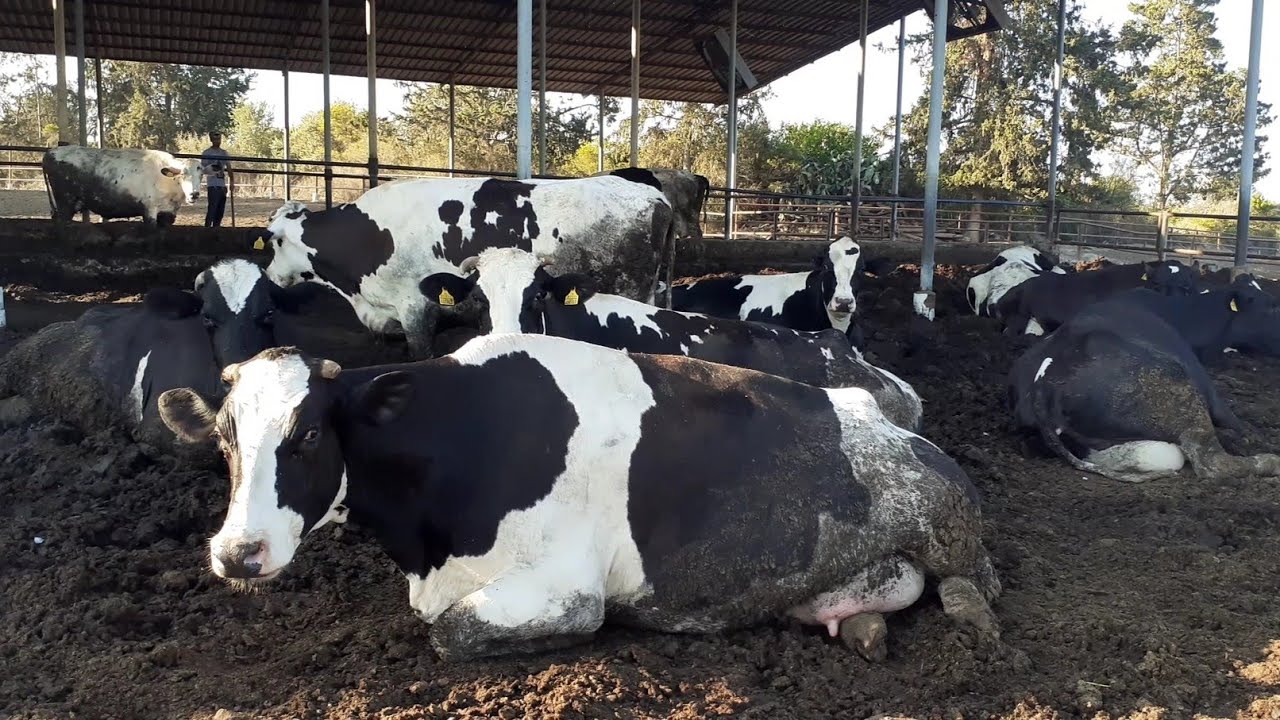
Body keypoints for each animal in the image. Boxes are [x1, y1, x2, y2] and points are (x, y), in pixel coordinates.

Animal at [42, 145, 204, 227]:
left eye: (201, 175)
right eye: (182, 174)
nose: (194, 194)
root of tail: (51, 152)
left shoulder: (168, 214)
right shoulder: (150, 210)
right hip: (65, 203)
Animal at [157, 336, 1000, 663]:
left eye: (305, 436)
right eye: (225, 440)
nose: (237, 553)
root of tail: (873, 408)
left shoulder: (563, 590)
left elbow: (450, 635)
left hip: (944, 512)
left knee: (976, 579)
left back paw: (970, 616)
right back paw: (861, 626)